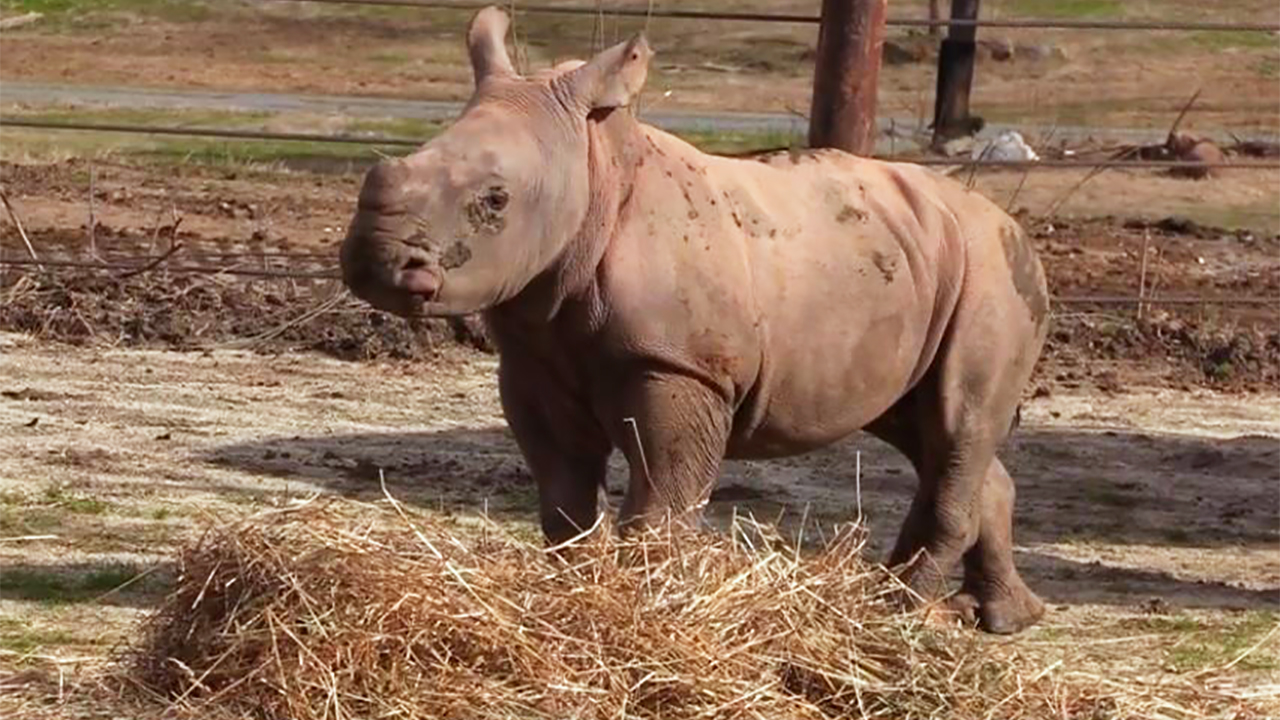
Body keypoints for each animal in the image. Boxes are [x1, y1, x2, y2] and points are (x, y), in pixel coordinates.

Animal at [340, 7, 1051, 634]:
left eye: (494, 200)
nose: (374, 258)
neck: (594, 171)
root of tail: (1013, 224)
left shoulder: (679, 365)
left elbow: (662, 496)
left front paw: (643, 606)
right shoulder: (534, 359)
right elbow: (563, 496)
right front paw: (574, 590)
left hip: (991, 276)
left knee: (958, 423)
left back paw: (894, 608)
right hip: (928, 264)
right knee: (930, 430)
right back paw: (993, 617)